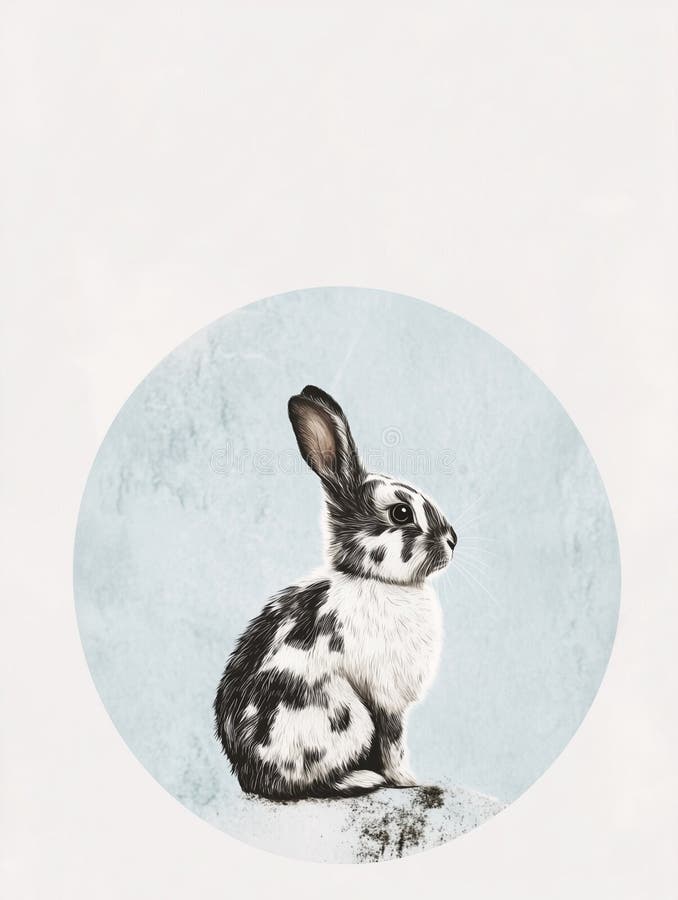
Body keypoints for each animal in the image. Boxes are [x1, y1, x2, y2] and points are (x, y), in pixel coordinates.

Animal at [214, 386, 456, 799]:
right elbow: (394, 742)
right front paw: (407, 780)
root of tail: (252, 777)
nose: (453, 540)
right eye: (401, 513)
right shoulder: (386, 699)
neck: (375, 579)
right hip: (344, 715)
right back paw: (363, 779)